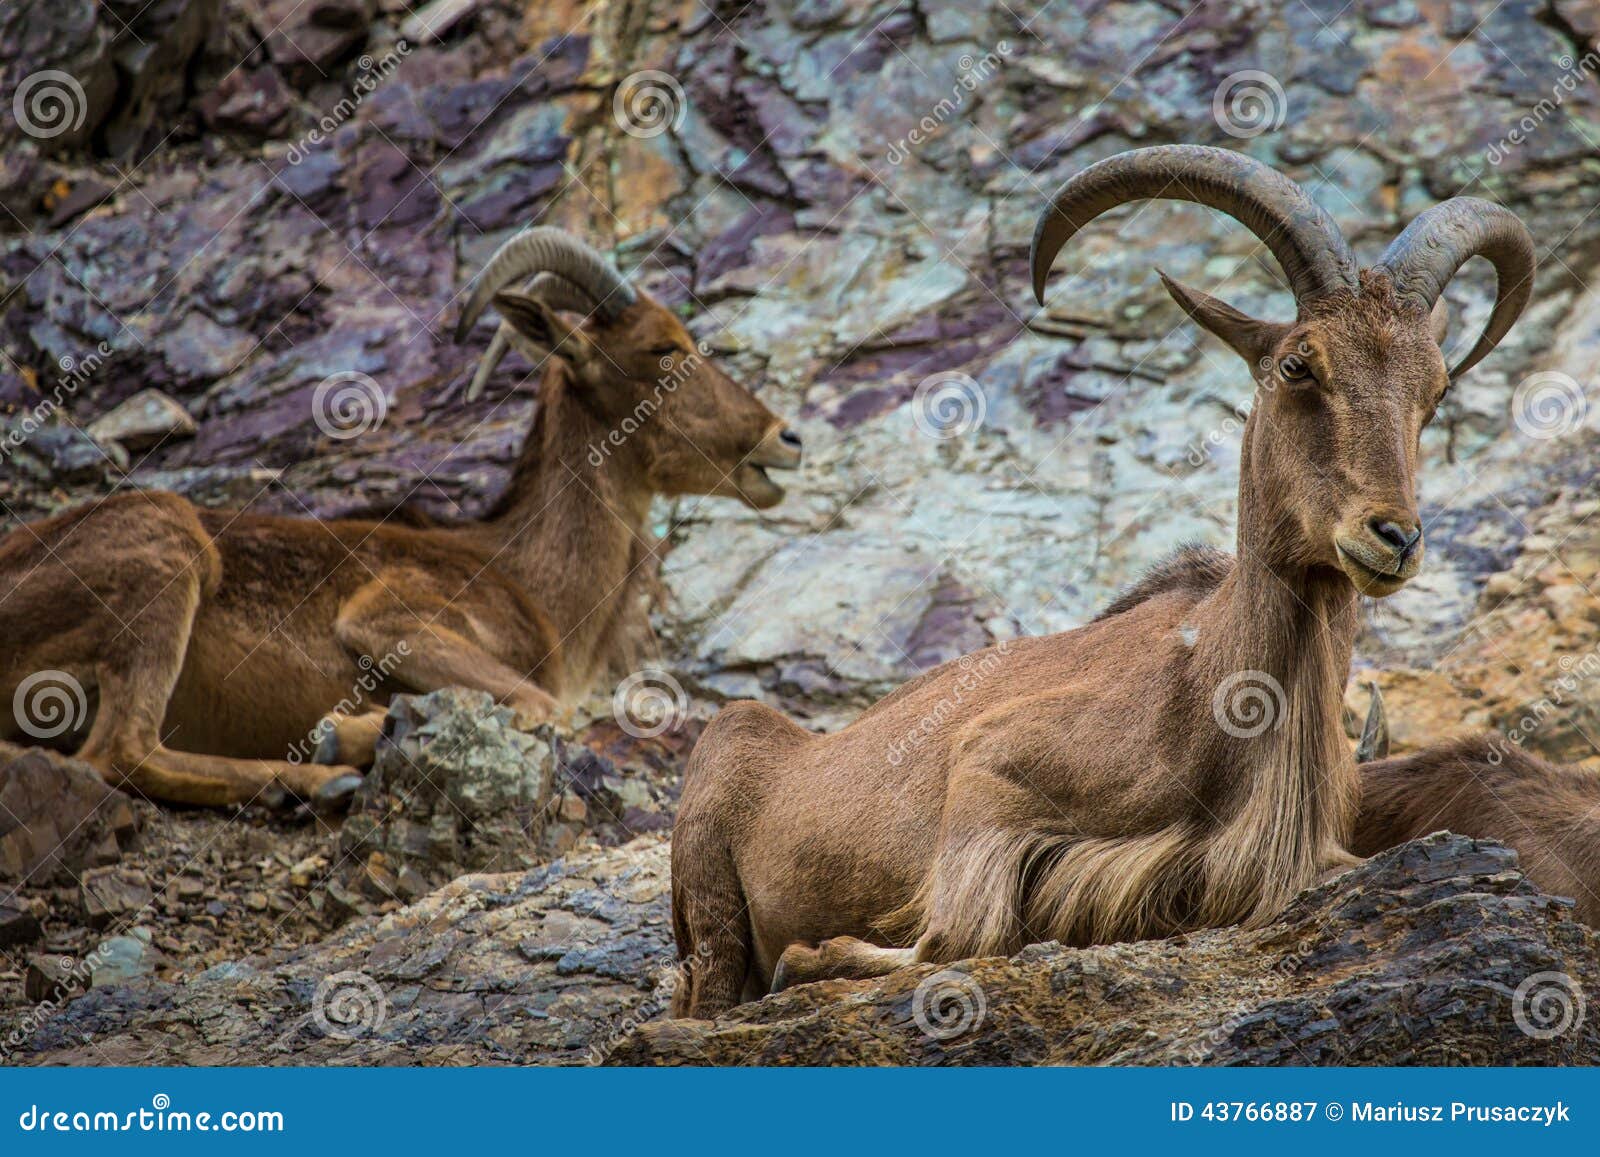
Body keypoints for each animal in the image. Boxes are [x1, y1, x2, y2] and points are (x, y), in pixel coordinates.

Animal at [0, 229, 803, 809]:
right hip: (167, 559)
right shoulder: (390, 620)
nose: (784, 438)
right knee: (118, 752)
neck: (529, 576)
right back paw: (320, 776)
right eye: (663, 347)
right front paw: (346, 733)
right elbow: (540, 704)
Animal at [669, 145, 1535, 1017]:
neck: (1218, 684)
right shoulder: (986, 772)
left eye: (1434, 388)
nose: (1394, 537)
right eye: (1298, 364)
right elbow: (955, 936)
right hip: (714, 861)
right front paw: (812, 957)